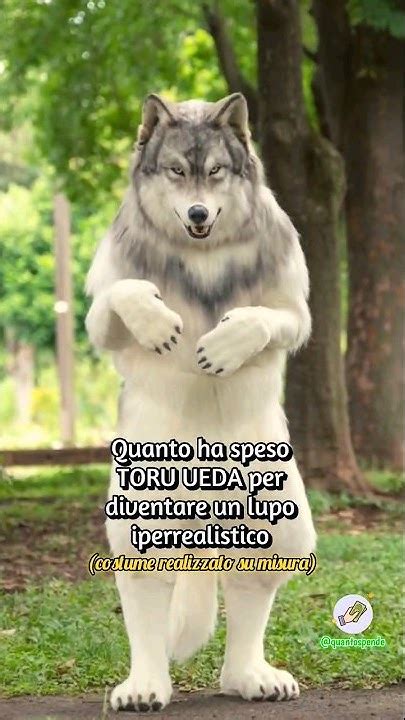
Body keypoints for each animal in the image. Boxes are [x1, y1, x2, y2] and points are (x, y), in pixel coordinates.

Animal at [86, 92, 316, 712]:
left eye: (215, 173)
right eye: (175, 171)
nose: (195, 214)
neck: (203, 253)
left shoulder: (289, 300)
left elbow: (274, 317)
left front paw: (230, 340)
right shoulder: (106, 300)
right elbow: (118, 297)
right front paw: (153, 318)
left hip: (267, 486)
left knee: (256, 569)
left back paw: (248, 676)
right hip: (149, 487)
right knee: (146, 575)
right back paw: (146, 685)